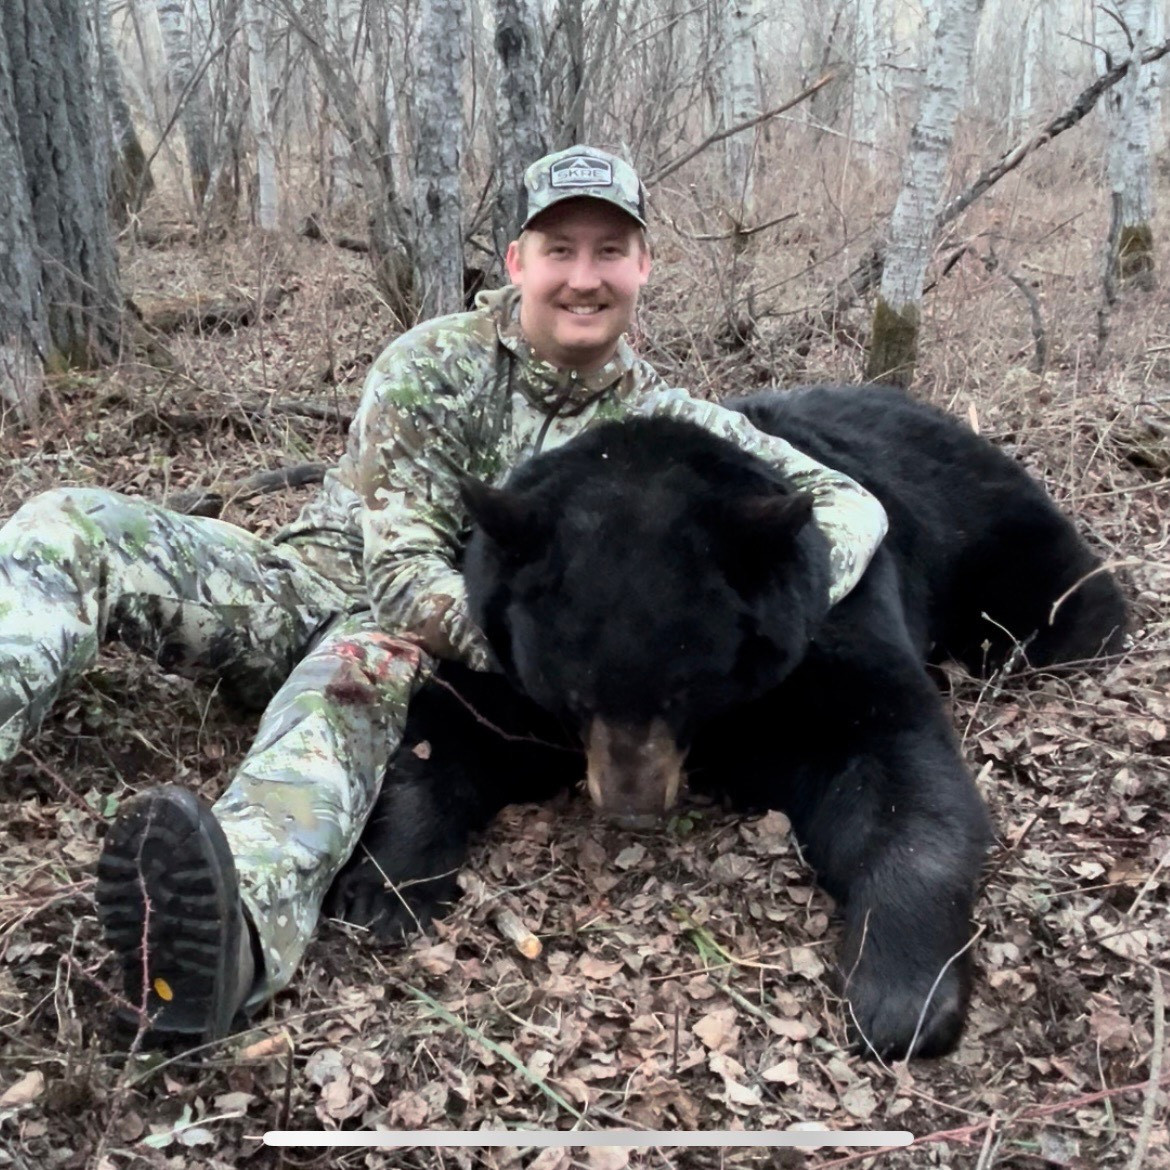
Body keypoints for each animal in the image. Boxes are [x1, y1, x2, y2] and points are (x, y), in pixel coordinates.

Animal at [327, 384, 1126, 1060]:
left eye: (684, 690)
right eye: (574, 692)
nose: (632, 807)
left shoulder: (826, 624)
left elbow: (895, 762)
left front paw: (904, 996)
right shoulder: (495, 647)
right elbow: (446, 733)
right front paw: (381, 890)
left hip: (996, 540)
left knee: (1059, 610)